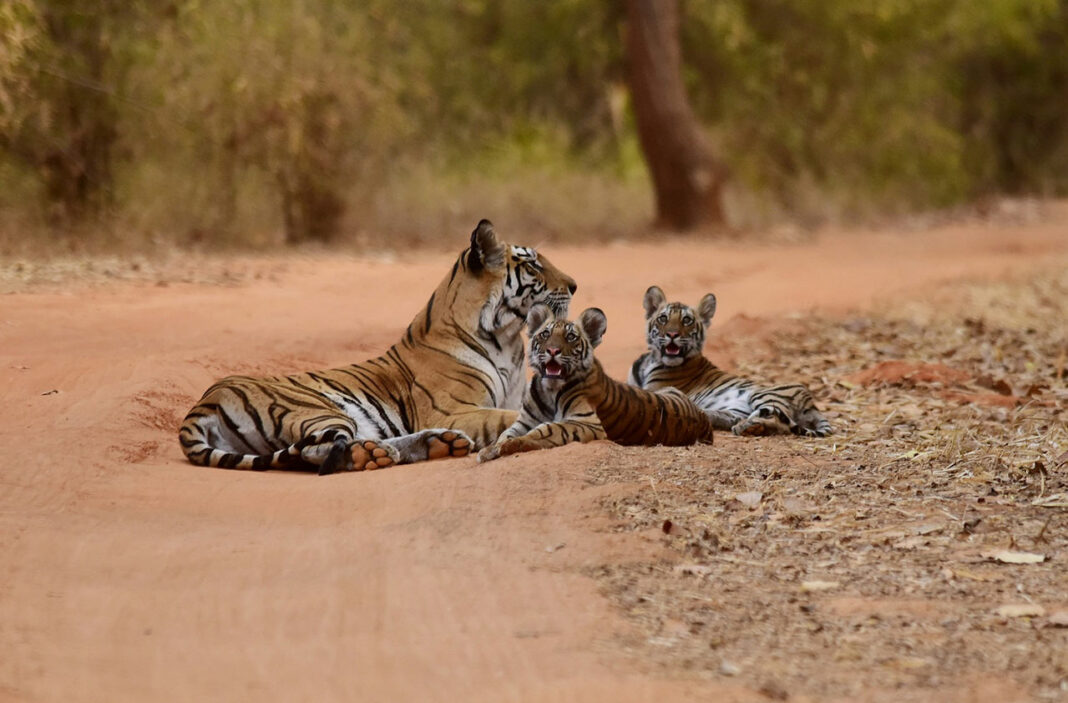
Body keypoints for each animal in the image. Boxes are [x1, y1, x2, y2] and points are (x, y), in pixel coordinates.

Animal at [179, 219, 577, 475]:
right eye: (533, 264)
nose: (574, 285)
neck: (507, 338)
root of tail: (204, 402)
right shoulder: (453, 409)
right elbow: (508, 418)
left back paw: (439, 445)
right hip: (317, 409)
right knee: (315, 451)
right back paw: (378, 454)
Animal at [477, 303, 714, 462]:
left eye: (570, 337)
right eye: (545, 334)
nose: (552, 350)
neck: (549, 390)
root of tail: (704, 419)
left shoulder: (587, 422)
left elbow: (547, 428)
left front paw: (511, 445)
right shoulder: (525, 420)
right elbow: (506, 433)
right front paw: (490, 449)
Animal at [627, 286, 832, 437]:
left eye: (686, 320)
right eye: (663, 318)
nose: (672, 334)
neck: (651, 360)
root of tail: (811, 402)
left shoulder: (654, 389)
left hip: (764, 395)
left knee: (777, 421)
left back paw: (746, 427)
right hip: (737, 409)